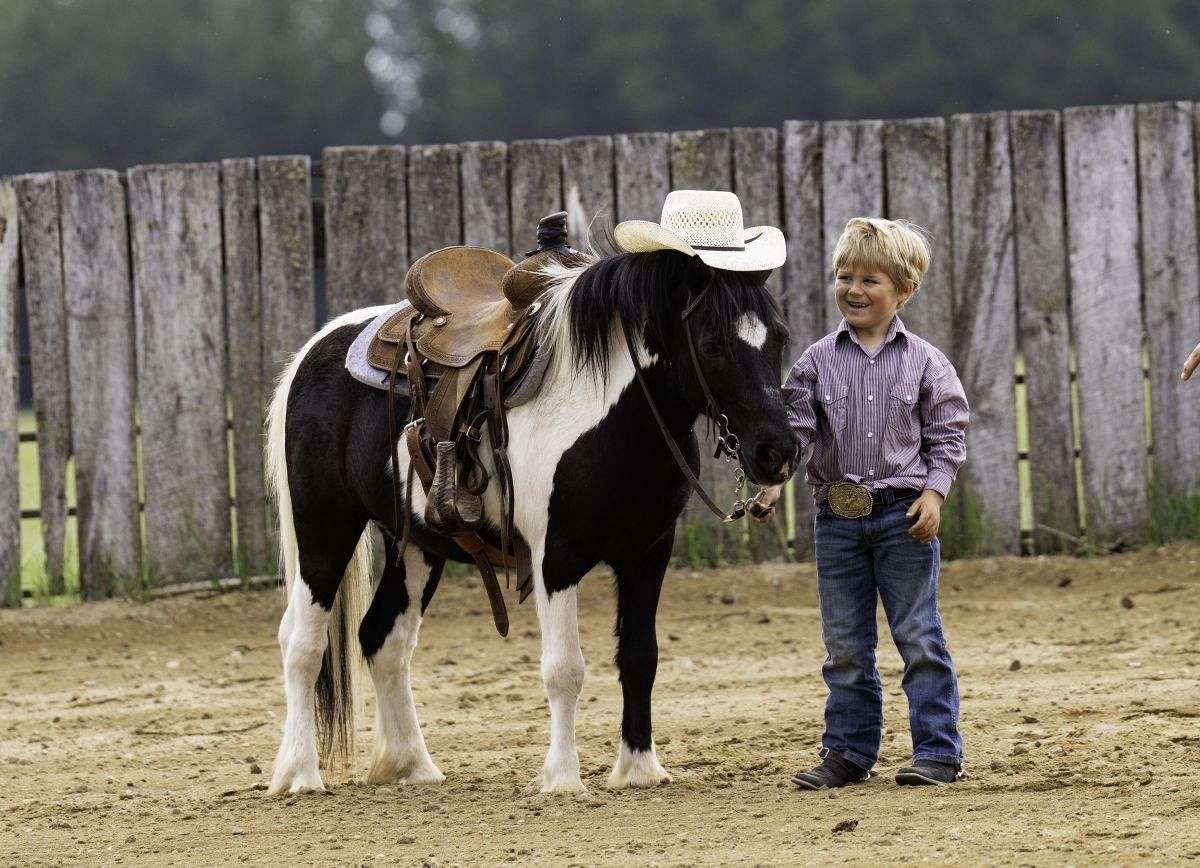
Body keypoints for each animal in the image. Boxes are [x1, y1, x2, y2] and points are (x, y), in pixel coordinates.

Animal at [264, 245, 796, 795]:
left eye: (779, 337)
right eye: (712, 345)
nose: (777, 452)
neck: (608, 417)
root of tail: (317, 347)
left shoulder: (648, 554)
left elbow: (639, 657)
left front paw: (639, 770)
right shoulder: (555, 558)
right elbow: (564, 669)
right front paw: (562, 778)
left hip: (414, 546)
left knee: (383, 639)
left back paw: (413, 765)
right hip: (323, 528)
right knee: (302, 643)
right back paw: (301, 773)